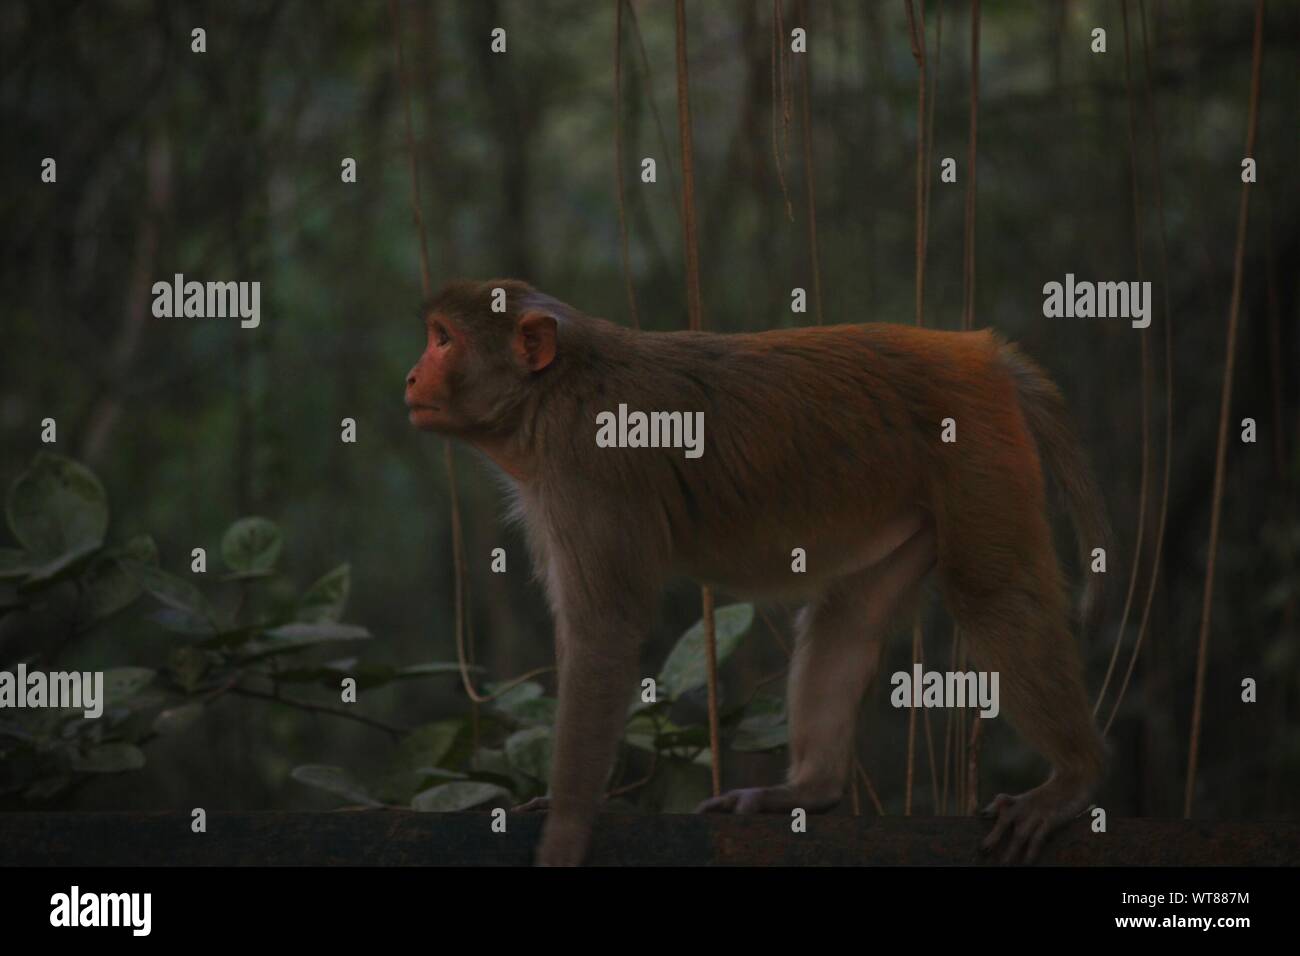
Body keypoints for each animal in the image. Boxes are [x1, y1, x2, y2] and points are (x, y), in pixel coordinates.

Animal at [405, 278, 1111, 867]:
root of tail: (978, 351)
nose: (412, 375)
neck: (554, 388)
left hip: (974, 446)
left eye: (443, 339)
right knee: (850, 612)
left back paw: (1075, 775)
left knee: (993, 593)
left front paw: (567, 827)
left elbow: (603, 632)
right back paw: (809, 790)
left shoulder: (584, 467)